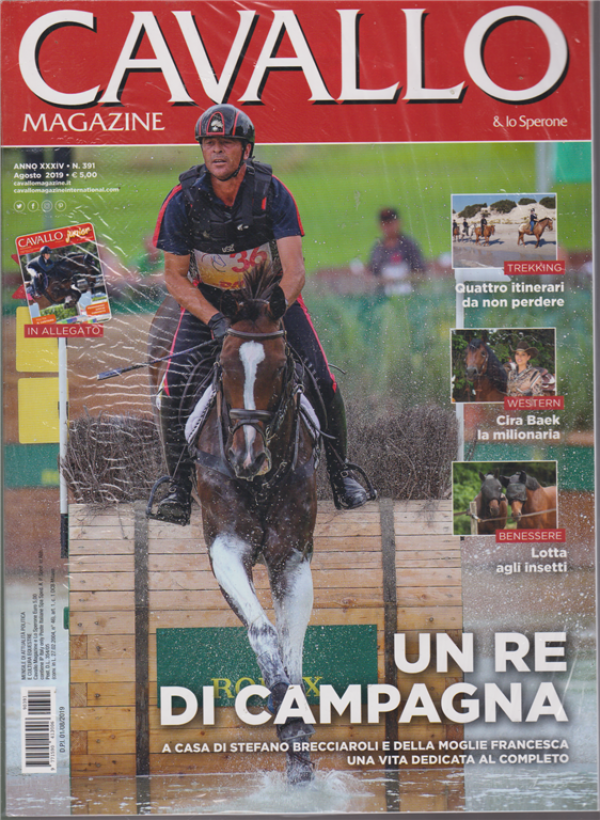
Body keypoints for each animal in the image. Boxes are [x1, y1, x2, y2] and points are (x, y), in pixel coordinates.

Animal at [148, 263, 320, 785]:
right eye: (223, 369)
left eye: (280, 368)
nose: (247, 458)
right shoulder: (226, 546)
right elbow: (263, 632)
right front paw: (287, 718)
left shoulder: (290, 556)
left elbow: (290, 642)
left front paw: (300, 757)